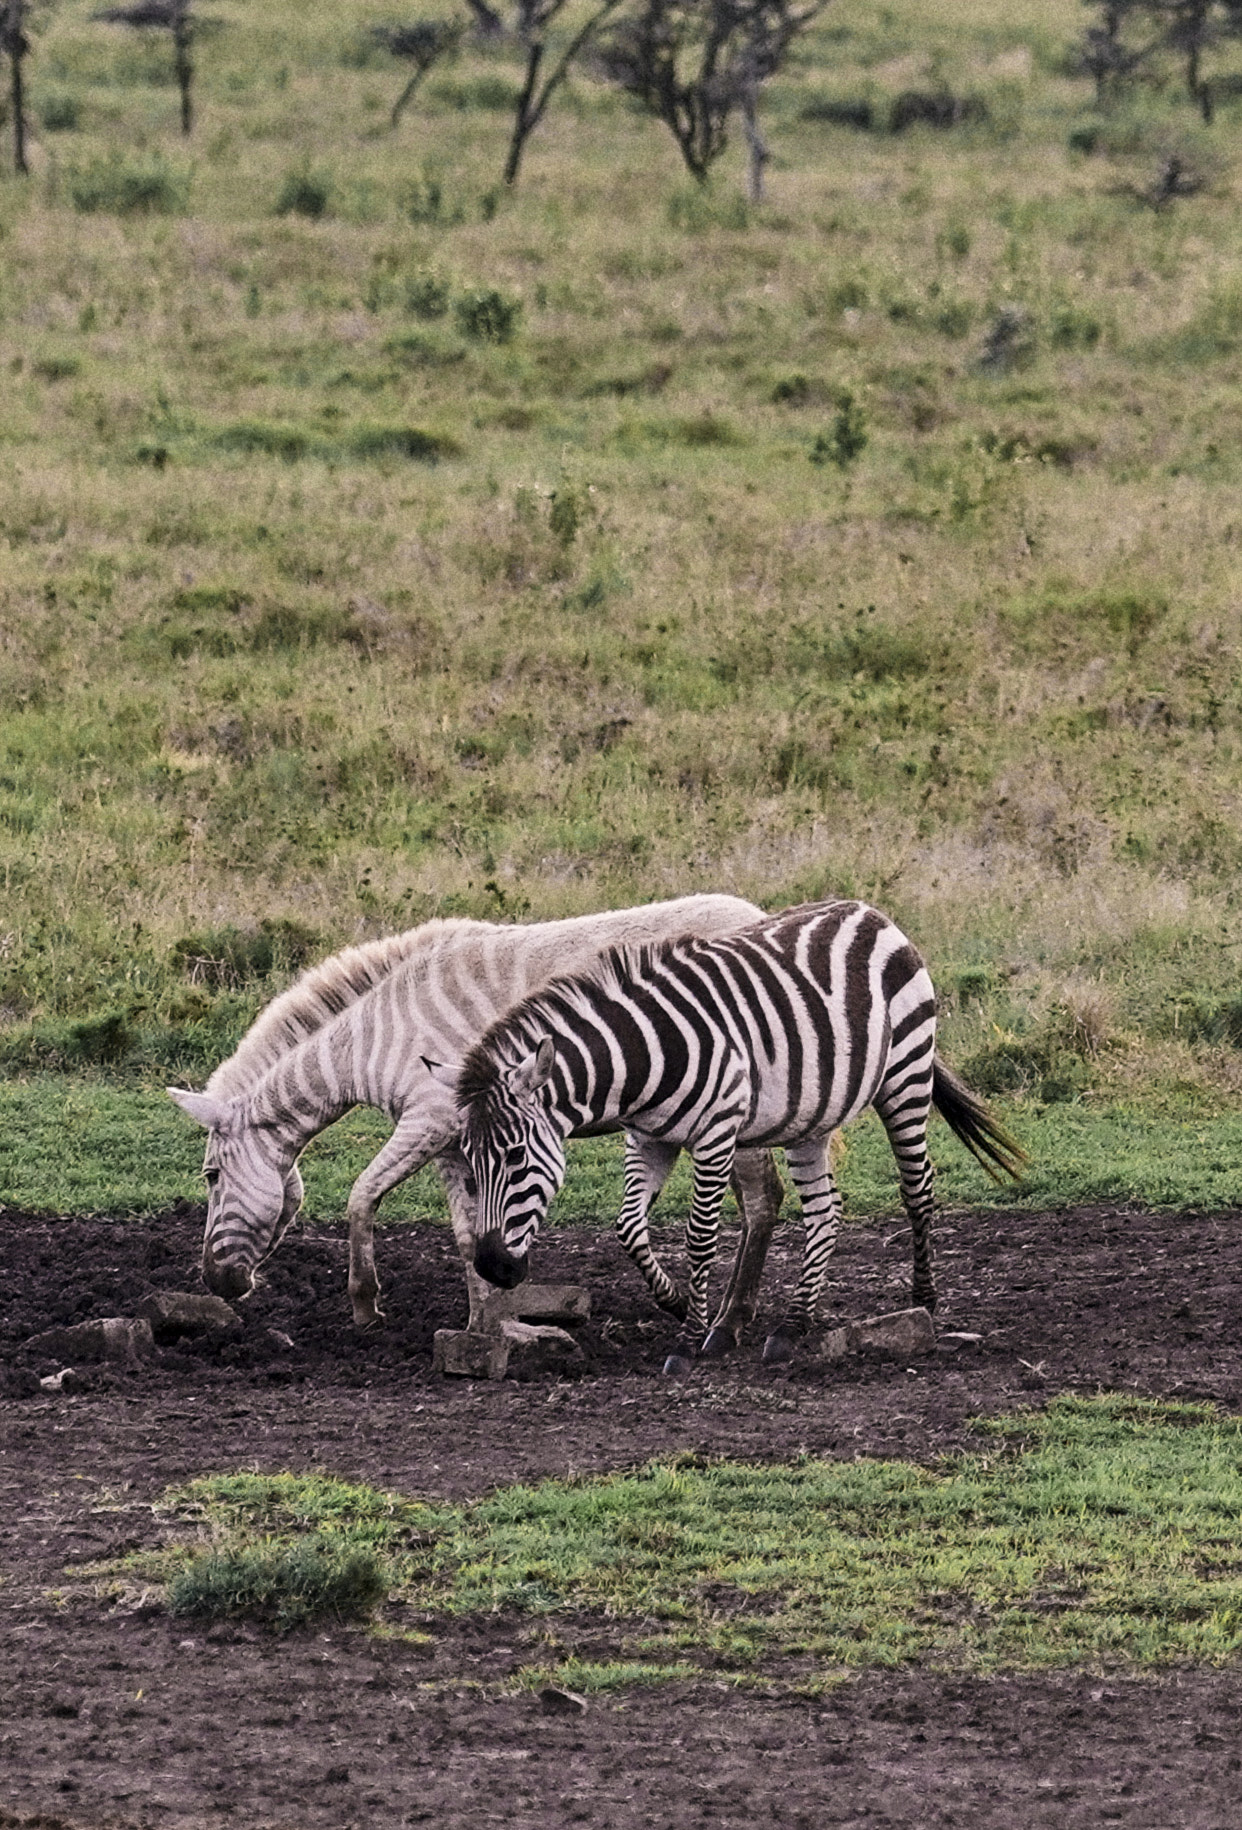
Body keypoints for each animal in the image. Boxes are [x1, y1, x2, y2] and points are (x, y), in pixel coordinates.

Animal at [166, 894, 784, 1342]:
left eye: (211, 1176)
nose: (213, 1282)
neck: (372, 1040)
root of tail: (757, 915)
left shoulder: (430, 1120)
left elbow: (361, 1196)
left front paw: (366, 1304)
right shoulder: (453, 1145)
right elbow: (468, 1235)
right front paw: (486, 1323)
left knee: (761, 1200)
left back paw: (731, 1318)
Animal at [445, 899, 1026, 1370]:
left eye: (516, 1158)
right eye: (470, 1162)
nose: (493, 1268)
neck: (642, 1060)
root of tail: (868, 911)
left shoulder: (716, 1132)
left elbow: (701, 1236)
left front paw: (691, 1338)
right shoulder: (649, 1139)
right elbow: (628, 1227)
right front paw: (677, 1302)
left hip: (906, 1072)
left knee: (917, 1187)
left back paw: (923, 1300)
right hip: (811, 1113)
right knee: (825, 1211)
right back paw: (792, 1326)